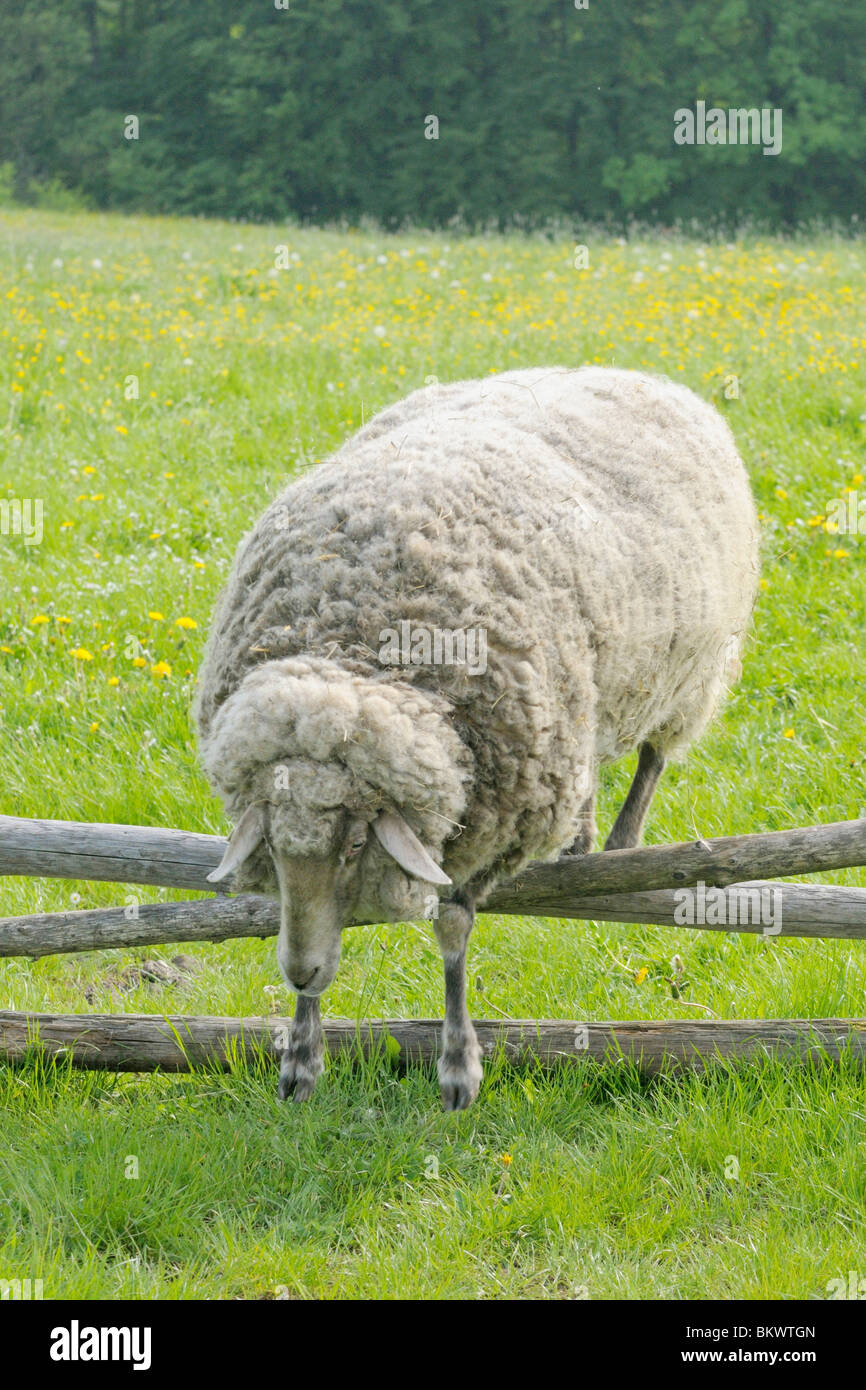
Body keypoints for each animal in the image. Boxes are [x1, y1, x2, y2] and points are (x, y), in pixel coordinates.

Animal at [195, 366, 759, 1109]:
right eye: (278, 848)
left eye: (355, 845)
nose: (298, 971)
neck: (357, 648)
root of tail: (630, 372)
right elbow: (321, 927)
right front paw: (301, 1055)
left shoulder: (497, 822)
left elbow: (452, 932)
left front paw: (458, 1067)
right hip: (581, 702)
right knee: (591, 768)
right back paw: (580, 841)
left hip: (688, 678)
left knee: (653, 757)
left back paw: (619, 842)